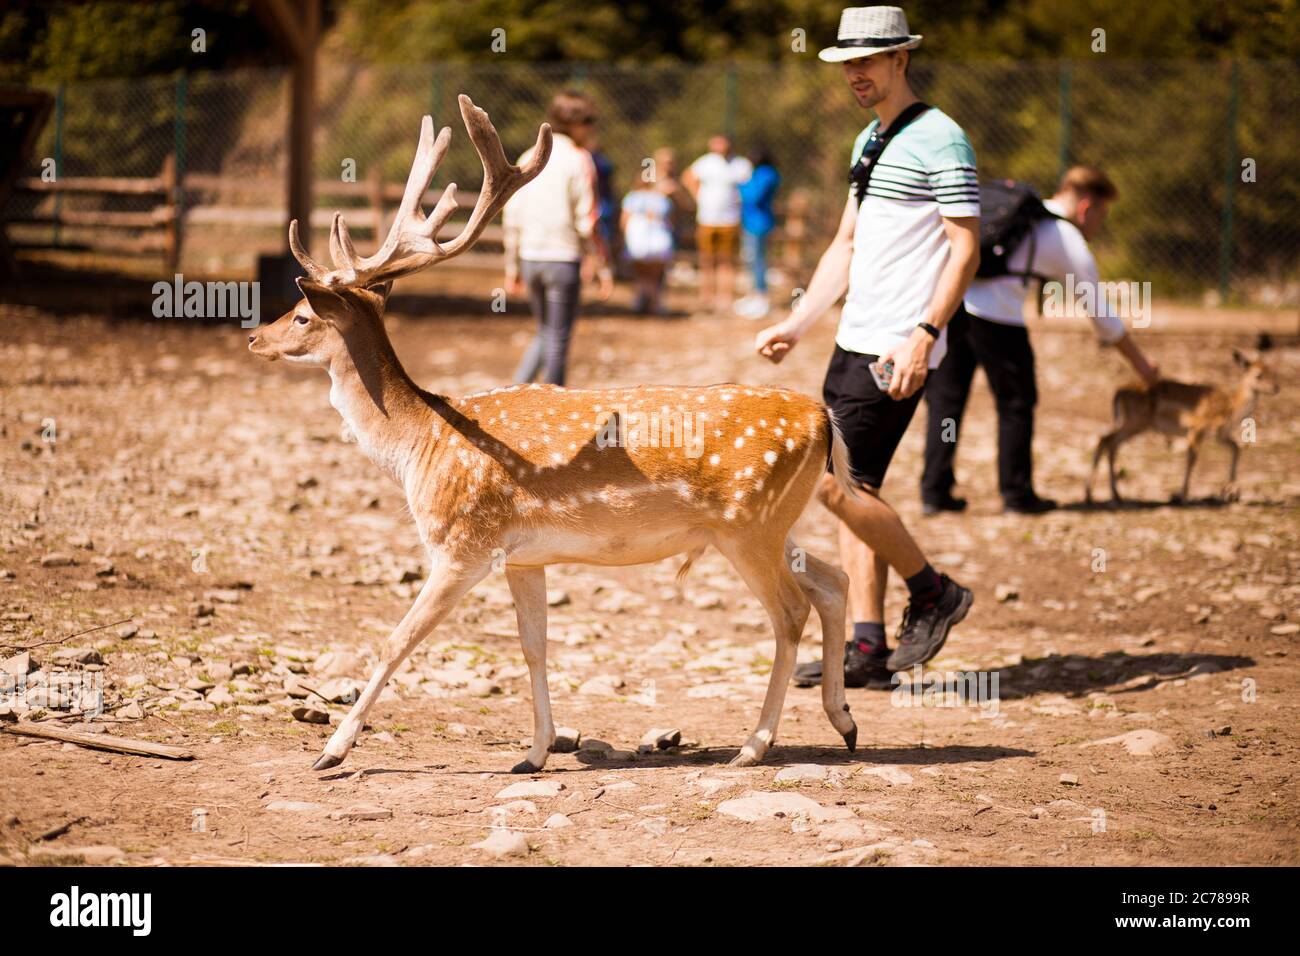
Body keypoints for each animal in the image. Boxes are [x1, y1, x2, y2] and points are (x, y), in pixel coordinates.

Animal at [247, 95, 860, 773]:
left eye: (302, 315)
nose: (254, 337)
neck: (420, 446)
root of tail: (824, 421)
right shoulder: (524, 557)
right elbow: (533, 647)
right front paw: (535, 752)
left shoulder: (462, 545)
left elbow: (396, 641)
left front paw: (331, 750)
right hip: (773, 523)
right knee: (834, 581)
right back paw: (844, 721)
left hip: (748, 525)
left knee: (791, 611)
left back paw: (755, 746)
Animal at [1085, 348, 1279, 505]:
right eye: (1259, 375)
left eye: (1271, 370)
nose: (1276, 387)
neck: (1231, 407)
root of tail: (1117, 393)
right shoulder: (1197, 428)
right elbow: (1192, 458)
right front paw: (1184, 497)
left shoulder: (1219, 435)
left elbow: (1236, 448)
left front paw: (1230, 492)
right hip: (1135, 422)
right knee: (1106, 440)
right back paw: (1096, 495)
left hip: (1134, 424)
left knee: (1109, 442)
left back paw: (1109, 495)